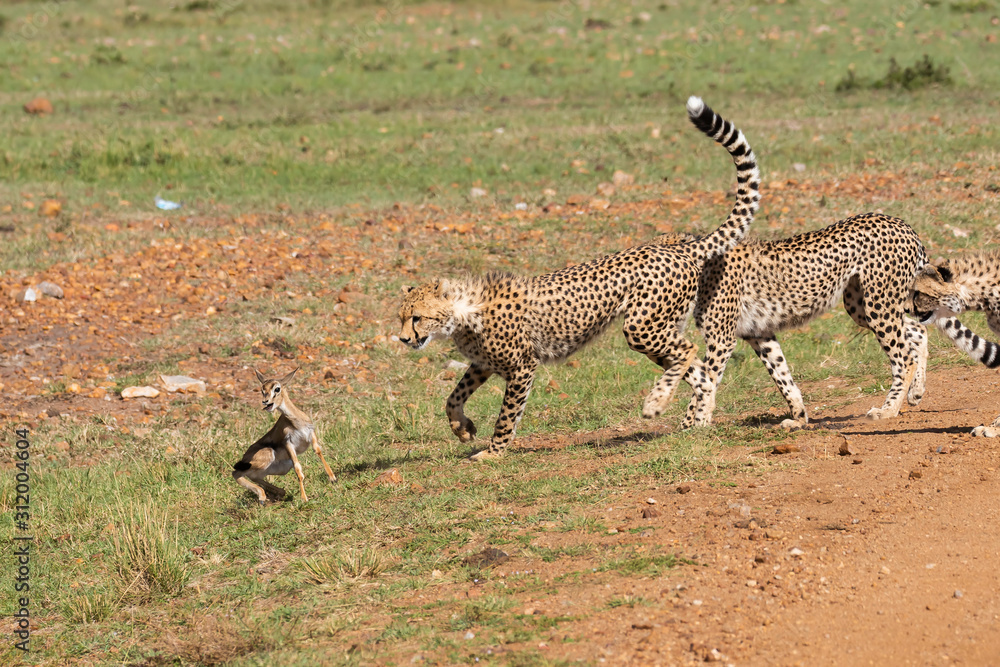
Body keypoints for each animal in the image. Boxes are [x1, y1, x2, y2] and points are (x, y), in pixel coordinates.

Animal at [397, 96, 760, 460]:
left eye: (417, 317)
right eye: (400, 317)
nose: (402, 339)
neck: (463, 311)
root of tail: (676, 248)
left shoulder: (522, 366)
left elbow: (506, 415)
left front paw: (494, 452)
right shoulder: (483, 363)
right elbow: (452, 397)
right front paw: (462, 428)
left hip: (642, 328)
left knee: (689, 351)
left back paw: (656, 403)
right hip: (660, 331)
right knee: (703, 373)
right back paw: (698, 419)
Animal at [654, 213, 930, 430]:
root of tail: (899, 222)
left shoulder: (721, 340)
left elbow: (706, 380)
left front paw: (691, 424)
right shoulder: (759, 333)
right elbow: (781, 376)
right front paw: (799, 417)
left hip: (879, 305)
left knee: (904, 358)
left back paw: (888, 410)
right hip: (860, 306)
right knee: (917, 330)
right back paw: (916, 392)